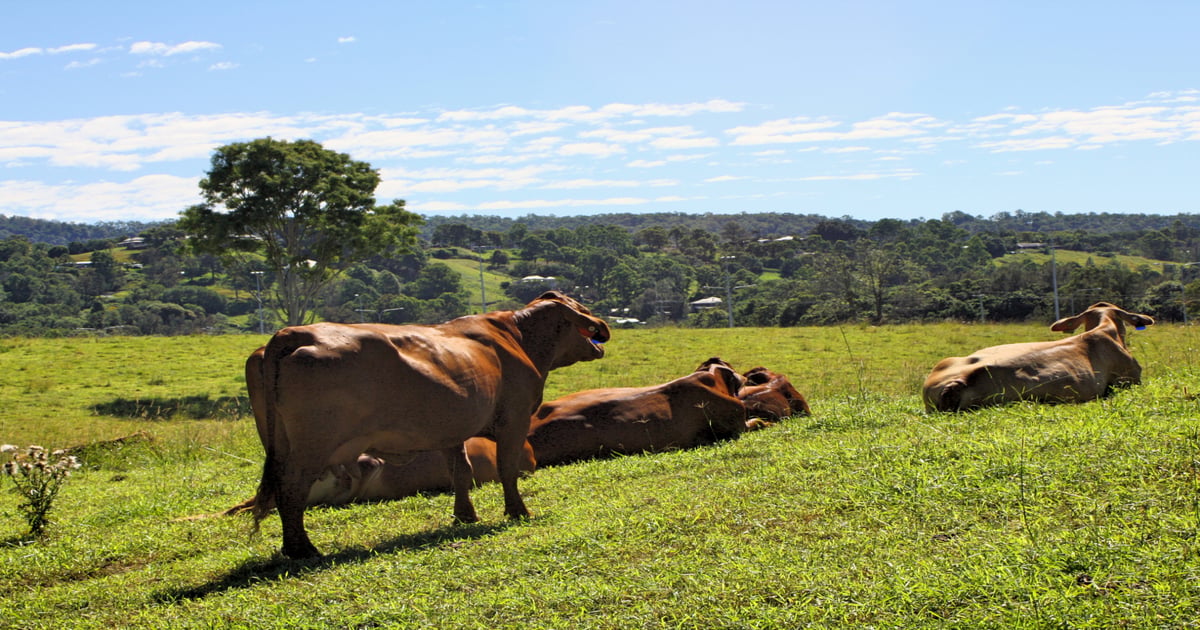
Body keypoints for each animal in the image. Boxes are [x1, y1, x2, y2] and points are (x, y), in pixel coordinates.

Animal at [248, 291, 610, 558]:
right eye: (583, 308)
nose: (603, 325)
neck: (517, 337)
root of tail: (294, 332)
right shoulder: (515, 419)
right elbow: (507, 468)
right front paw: (518, 511)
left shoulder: (452, 428)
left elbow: (461, 472)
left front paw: (464, 515)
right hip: (312, 448)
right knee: (292, 489)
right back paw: (302, 549)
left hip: (279, 445)